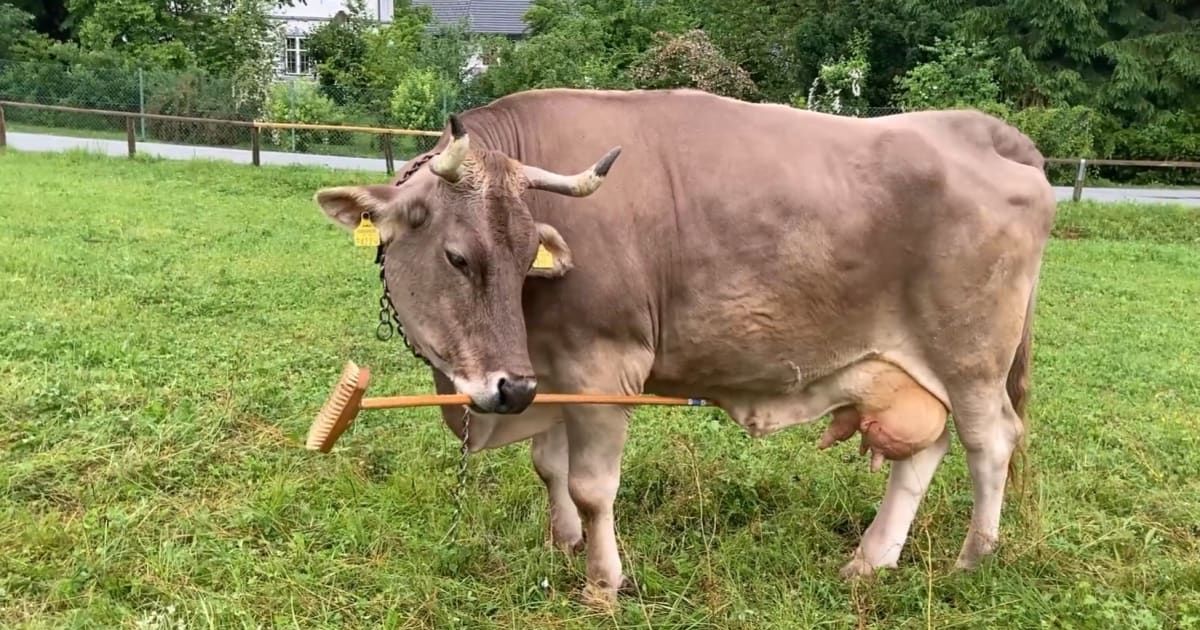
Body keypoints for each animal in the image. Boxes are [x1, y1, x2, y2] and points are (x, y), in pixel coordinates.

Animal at [313, 88, 1055, 605]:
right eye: (459, 257)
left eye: (527, 257)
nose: (508, 388)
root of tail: (980, 129)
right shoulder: (549, 369)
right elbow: (548, 467)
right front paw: (563, 543)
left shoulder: (602, 363)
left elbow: (591, 486)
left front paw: (602, 582)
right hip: (911, 371)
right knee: (925, 451)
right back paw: (871, 559)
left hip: (971, 360)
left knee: (990, 441)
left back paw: (974, 556)